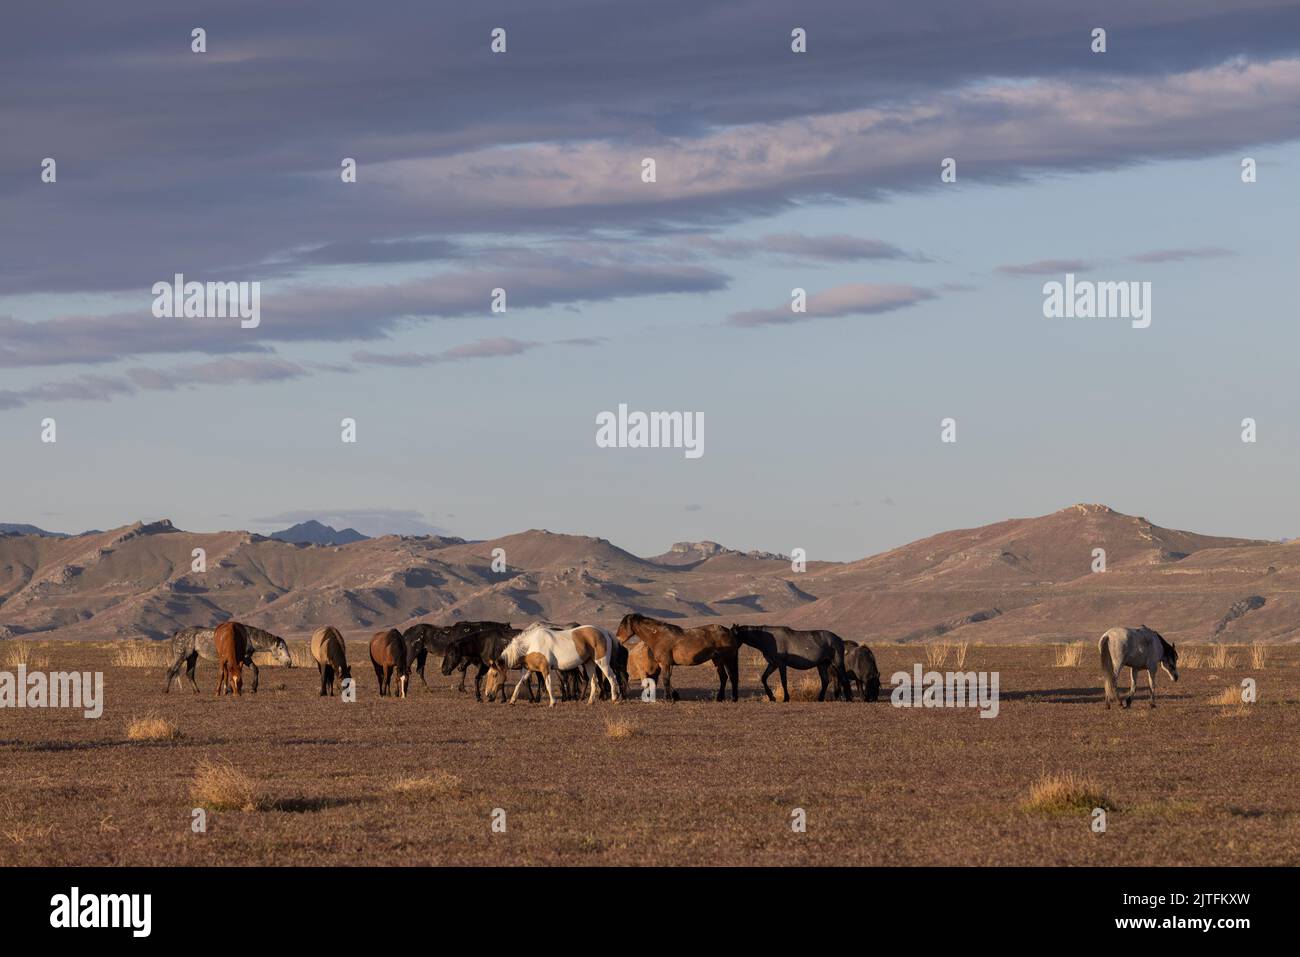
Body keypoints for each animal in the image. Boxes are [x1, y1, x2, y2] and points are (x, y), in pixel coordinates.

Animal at [163, 624, 292, 693]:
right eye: (281, 648)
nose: (289, 662)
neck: (247, 637)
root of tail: (178, 633)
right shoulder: (242, 659)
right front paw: (231, 689)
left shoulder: (246, 658)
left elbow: (255, 669)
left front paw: (253, 688)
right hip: (181, 656)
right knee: (171, 671)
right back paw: (166, 690)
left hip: (192, 657)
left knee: (189, 674)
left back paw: (197, 691)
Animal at [485, 622, 623, 706]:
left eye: (495, 675)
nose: (487, 694)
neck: (531, 644)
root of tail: (604, 631)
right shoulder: (529, 669)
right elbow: (520, 683)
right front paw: (512, 701)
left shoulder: (545, 669)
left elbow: (548, 684)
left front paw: (552, 702)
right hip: (589, 663)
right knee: (593, 680)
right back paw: (590, 701)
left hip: (602, 662)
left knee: (612, 677)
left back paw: (615, 699)